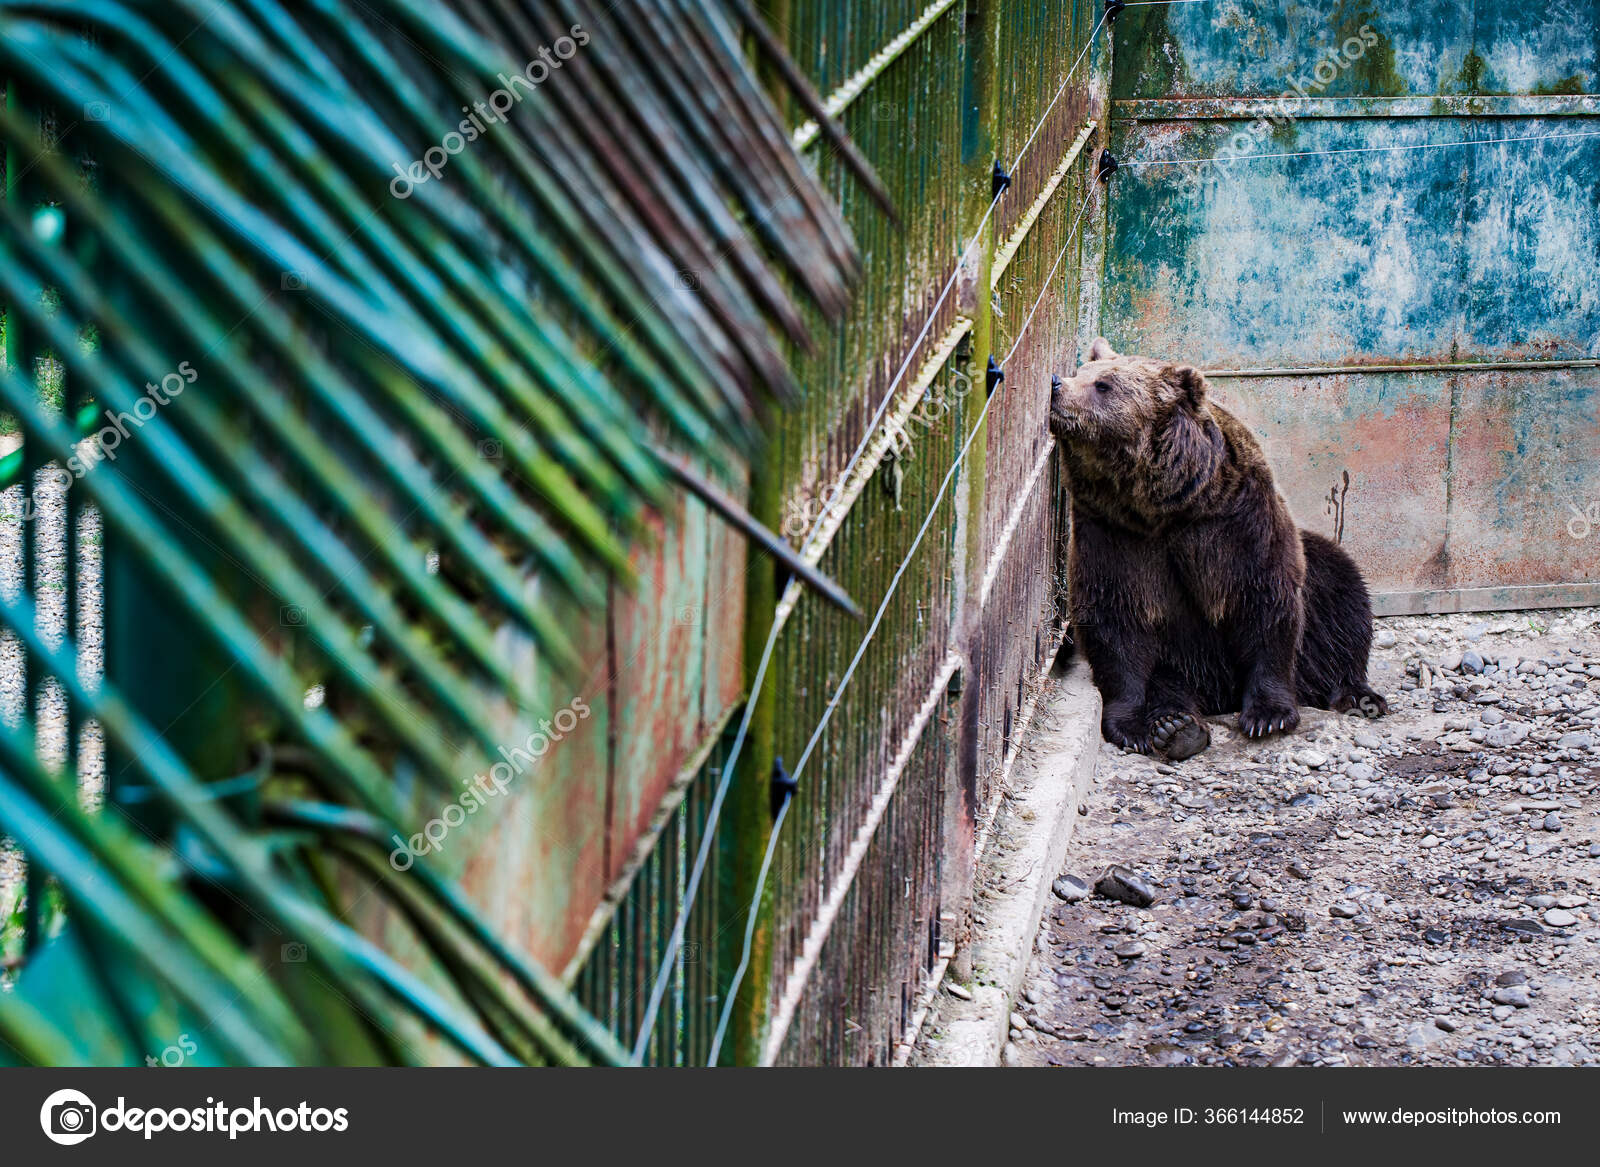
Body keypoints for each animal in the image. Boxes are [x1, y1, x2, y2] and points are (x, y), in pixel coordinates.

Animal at [1049, 337, 1387, 760]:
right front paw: (1132, 726)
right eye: (1081, 372)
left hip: (1320, 581)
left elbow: (1265, 603)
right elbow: (1116, 620)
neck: (1160, 505)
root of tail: (1219, 695)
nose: (1056, 386)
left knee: (1343, 598)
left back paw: (1360, 695)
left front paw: (1268, 715)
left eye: (1104, 385)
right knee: (1168, 683)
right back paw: (1177, 727)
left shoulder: (1236, 524)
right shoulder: (1112, 533)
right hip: (1182, 665)